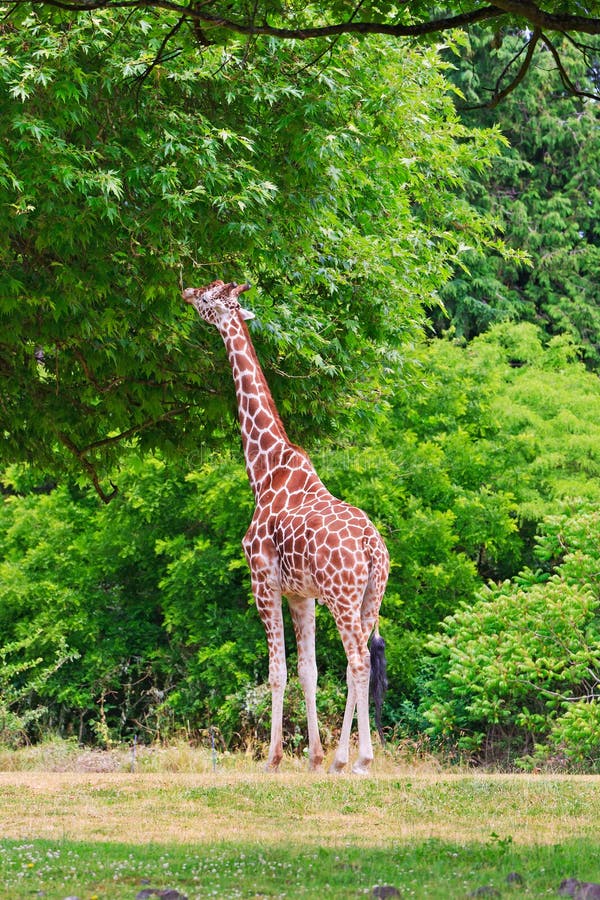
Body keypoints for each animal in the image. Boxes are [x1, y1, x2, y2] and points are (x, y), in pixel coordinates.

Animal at [183, 279, 389, 774]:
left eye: (210, 297)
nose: (186, 291)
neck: (264, 469)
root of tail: (373, 548)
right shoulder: (301, 593)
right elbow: (307, 670)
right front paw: (312, 757)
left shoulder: (263, 579)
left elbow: (277, 671)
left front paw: (274, 758)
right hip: (370, 596)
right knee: (358, 664)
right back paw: (340, 759)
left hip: (342, 595)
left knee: (357, 662)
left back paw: (358, 759)